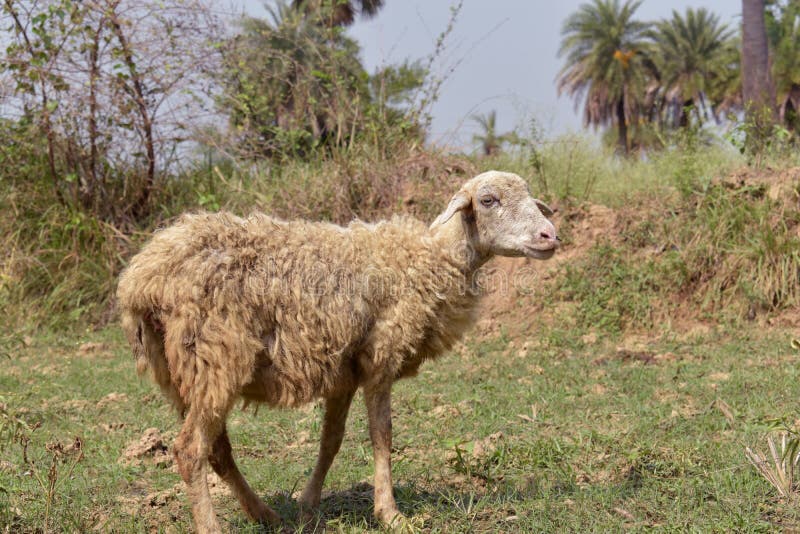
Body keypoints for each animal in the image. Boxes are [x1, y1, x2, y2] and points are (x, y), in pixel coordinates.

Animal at [116, 170, 559, 533]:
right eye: (488, 200)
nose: (550, 236)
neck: (425, 260)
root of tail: (143, 278)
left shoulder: (344, 370)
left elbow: (331, 439)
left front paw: (308, 505)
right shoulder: (381, 356)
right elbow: (383, 435)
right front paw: (390, 514)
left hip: (181, 374)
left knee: (218, 452)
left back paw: (266, 515)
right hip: (215, 359)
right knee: (191, 450)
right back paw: (213, 527)